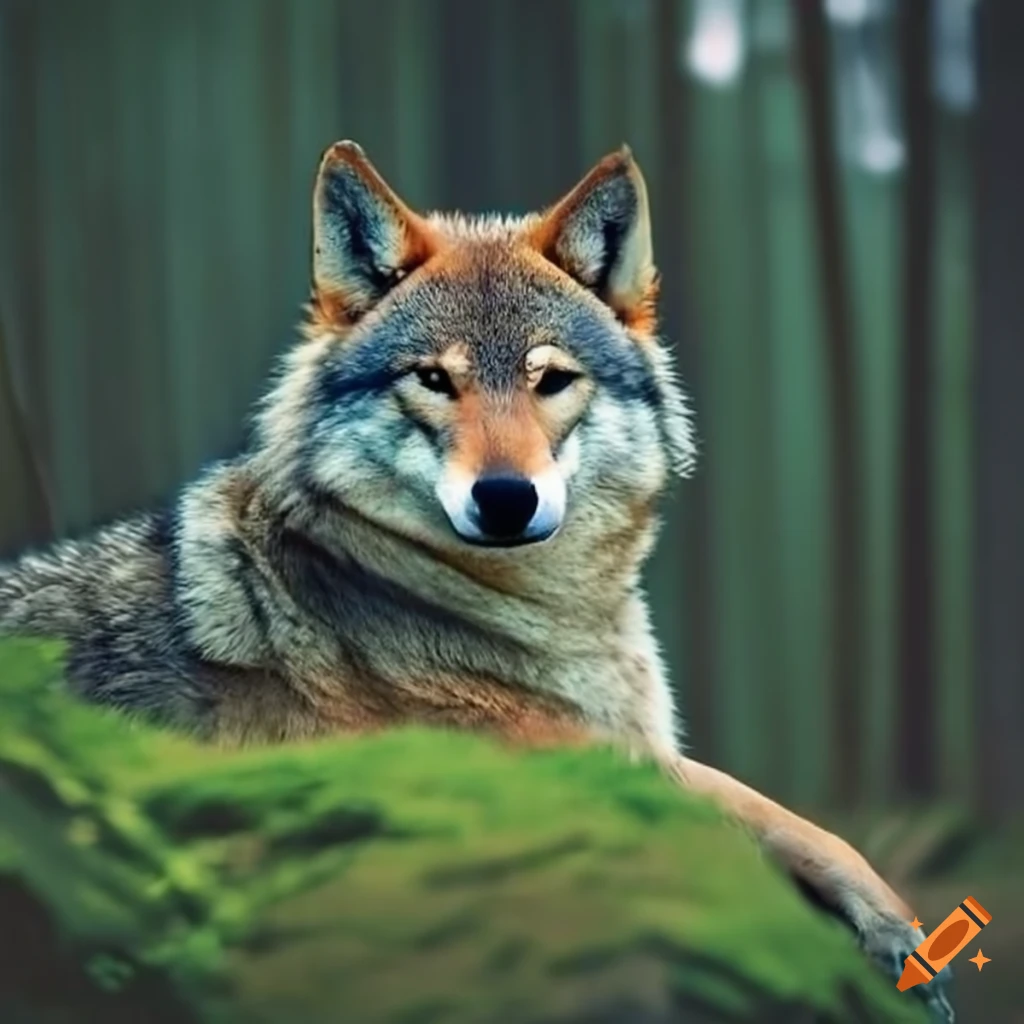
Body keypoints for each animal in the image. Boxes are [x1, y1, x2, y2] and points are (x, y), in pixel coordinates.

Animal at [0, 142, 950, 1018]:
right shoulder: (549, 774)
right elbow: (727, 813)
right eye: (434, 378)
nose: (504, 496)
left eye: (552, 379)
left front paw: (890, 924)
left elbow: (770, 808)